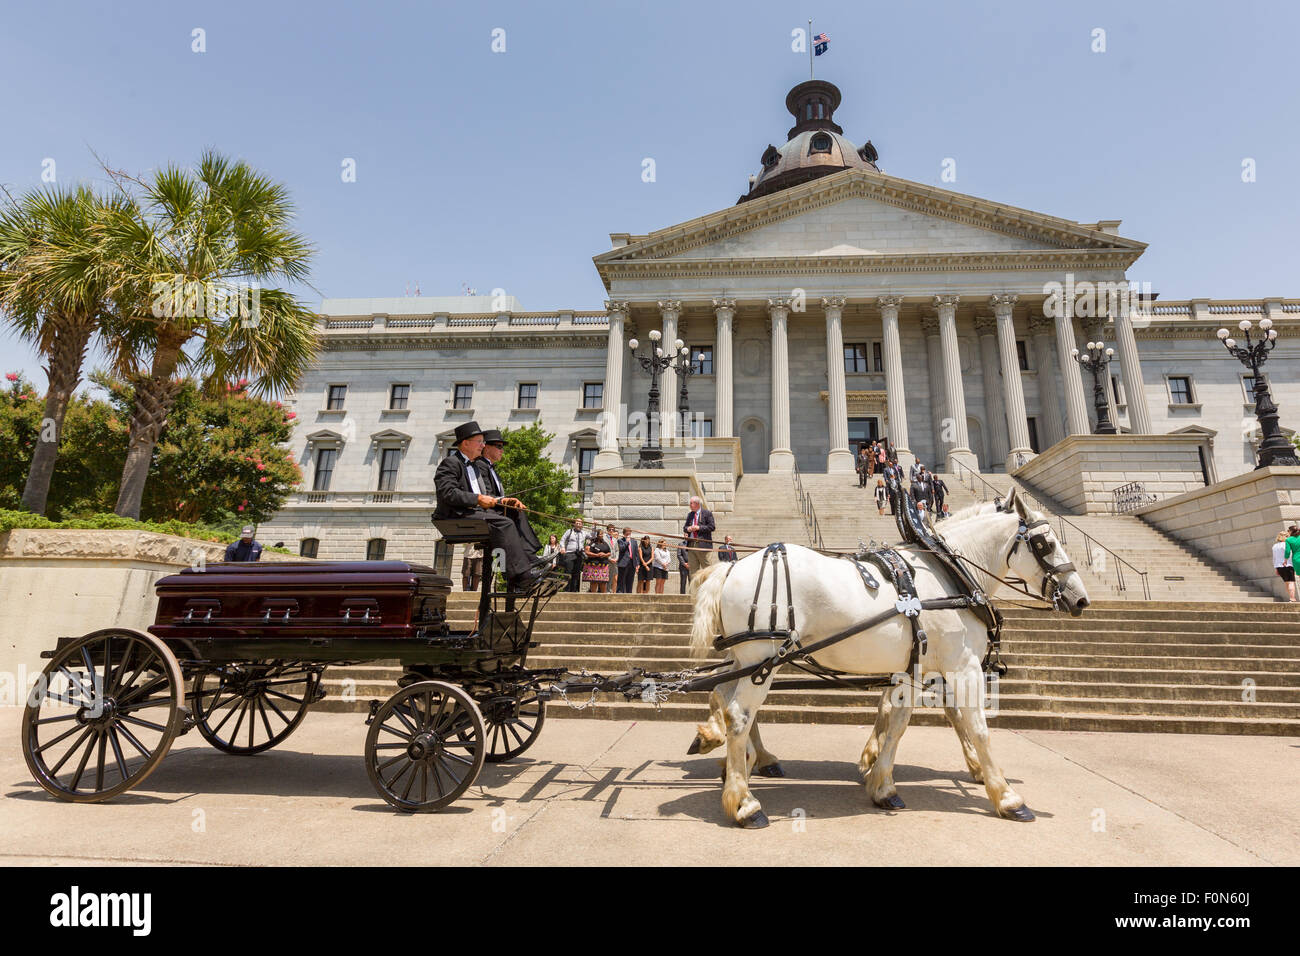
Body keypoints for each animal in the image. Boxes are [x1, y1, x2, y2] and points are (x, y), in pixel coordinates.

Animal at [685, 488, 1088, 828]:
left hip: (747, 661)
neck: (948, 575)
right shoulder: (962, 667)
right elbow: (977, 727)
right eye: (1046, 543)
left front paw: (882, 785)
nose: (1080, 598)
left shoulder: (913, 669)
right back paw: (744, 803)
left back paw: (737, 759)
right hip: (764, 660)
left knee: (724, 699)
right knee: (739, 714)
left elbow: (896, 723)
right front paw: (1006, 795)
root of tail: (731, 567)